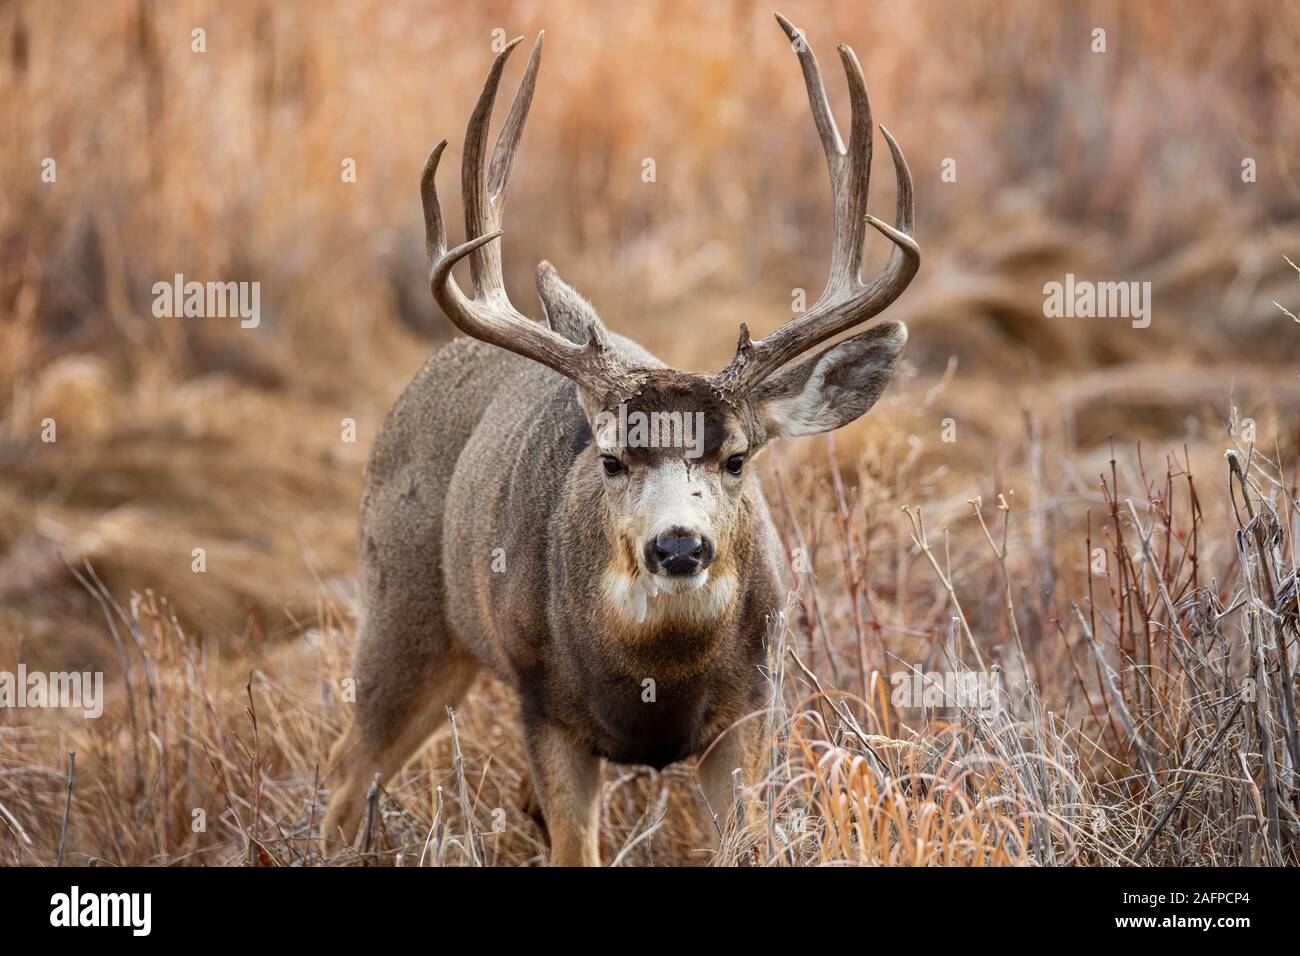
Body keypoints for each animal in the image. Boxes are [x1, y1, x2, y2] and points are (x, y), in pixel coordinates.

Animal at [322, 13, 918, 866]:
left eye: (738, 458)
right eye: (609, 458)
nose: (678, 546)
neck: (655, 681)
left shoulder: (753, 709)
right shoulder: (545, 710)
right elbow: (574, 847)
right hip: (399, 603)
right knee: (347, 772)